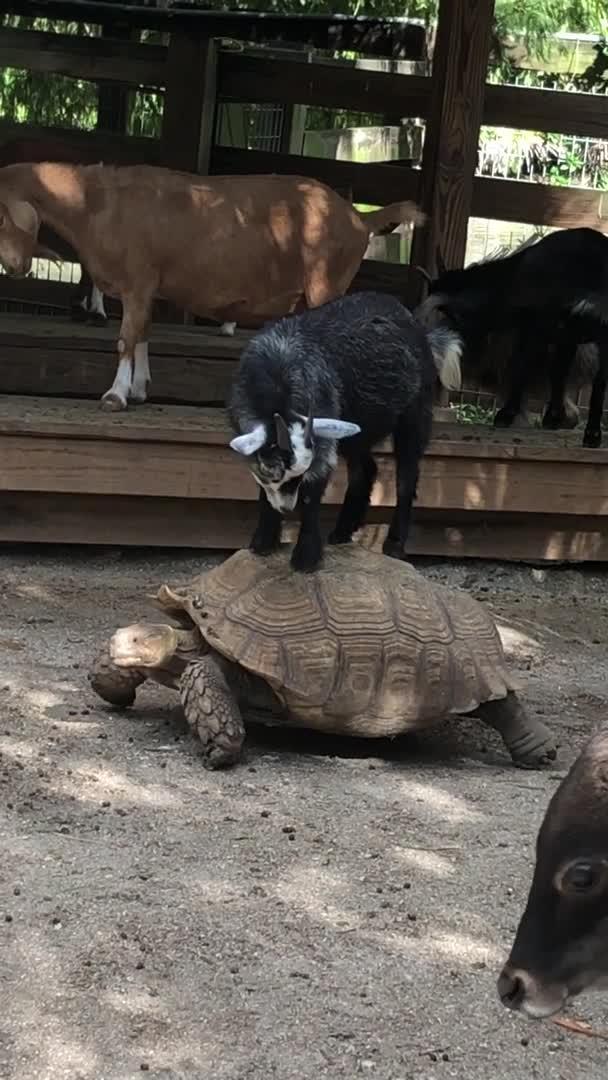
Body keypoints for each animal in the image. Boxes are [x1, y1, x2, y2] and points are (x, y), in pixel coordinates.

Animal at [0, 162, 423, 411]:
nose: (14, 266)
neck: (98, 201)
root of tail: (359, 218)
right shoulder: (147, 287)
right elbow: (143, 333)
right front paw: (138, 389)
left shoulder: (139, 278)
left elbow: (126, 337)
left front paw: (115, 396)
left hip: (326, 281)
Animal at [228, 291, 462, 573]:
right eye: (273, 475)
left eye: (298, 477)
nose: (285, 508)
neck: (275, 380)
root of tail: (420, 329)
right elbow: (263, 490)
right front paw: (263, 542)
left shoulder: (320, 438)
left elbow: (313, 491)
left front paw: (306, 557)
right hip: (356, 428)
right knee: (365, 469)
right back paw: (342, 532)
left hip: (415, 414)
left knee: (406, 477)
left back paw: (394, 544)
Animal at [416, 228, 608, 447]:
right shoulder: (561, 336)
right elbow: (558, 372)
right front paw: (553, 417)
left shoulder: (533, 327)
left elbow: (521, 365)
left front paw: (508, 414)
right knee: (593, 380)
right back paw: (589, 433)